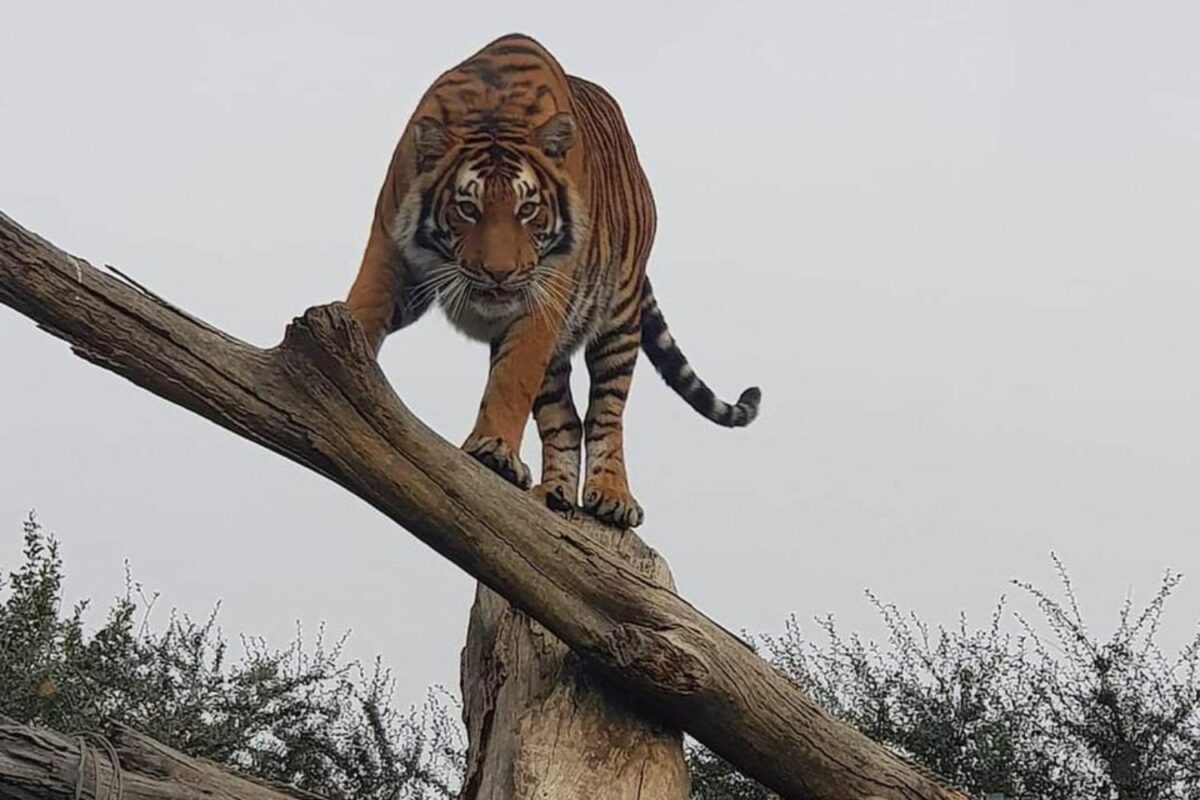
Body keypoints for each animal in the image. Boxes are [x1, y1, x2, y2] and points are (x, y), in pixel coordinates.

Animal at [345, 33, 760, 528]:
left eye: (527, 209)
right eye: (467, 208)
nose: (499, 273)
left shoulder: (541, 298)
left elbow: (511, 381)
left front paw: (495, 452)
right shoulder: (390, 252)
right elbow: (364, 309)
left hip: (618, 318)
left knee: (605, 412)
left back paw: (612, 495)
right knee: (565, 418)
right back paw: (553, 493)